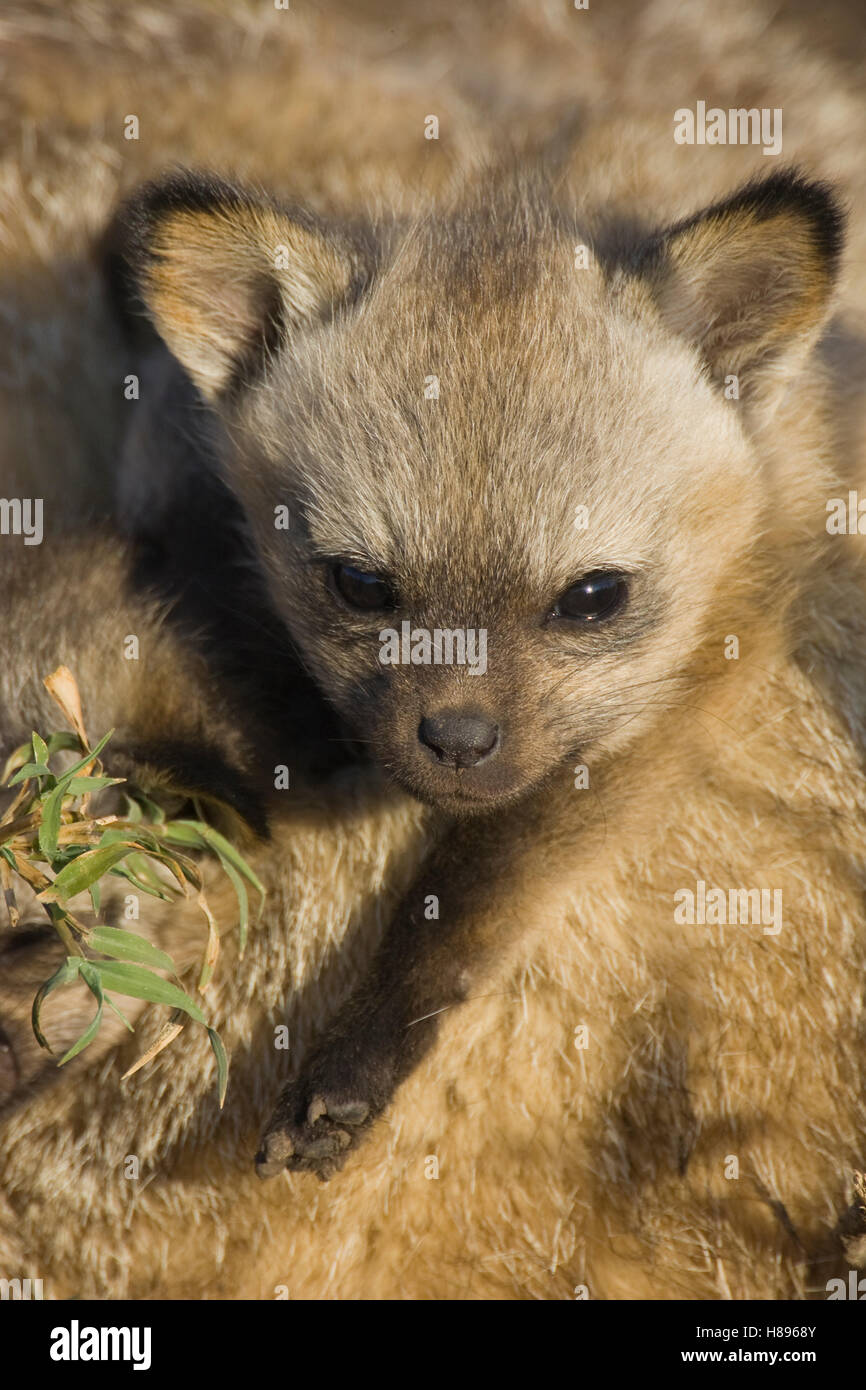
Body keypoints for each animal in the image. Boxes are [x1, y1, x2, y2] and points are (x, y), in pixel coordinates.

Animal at [3, 0, 866, 1302]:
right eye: (361, 584)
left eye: (592, 598)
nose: (454, 741)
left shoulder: (685, 683)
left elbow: (466, 900)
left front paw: (356, 1057)